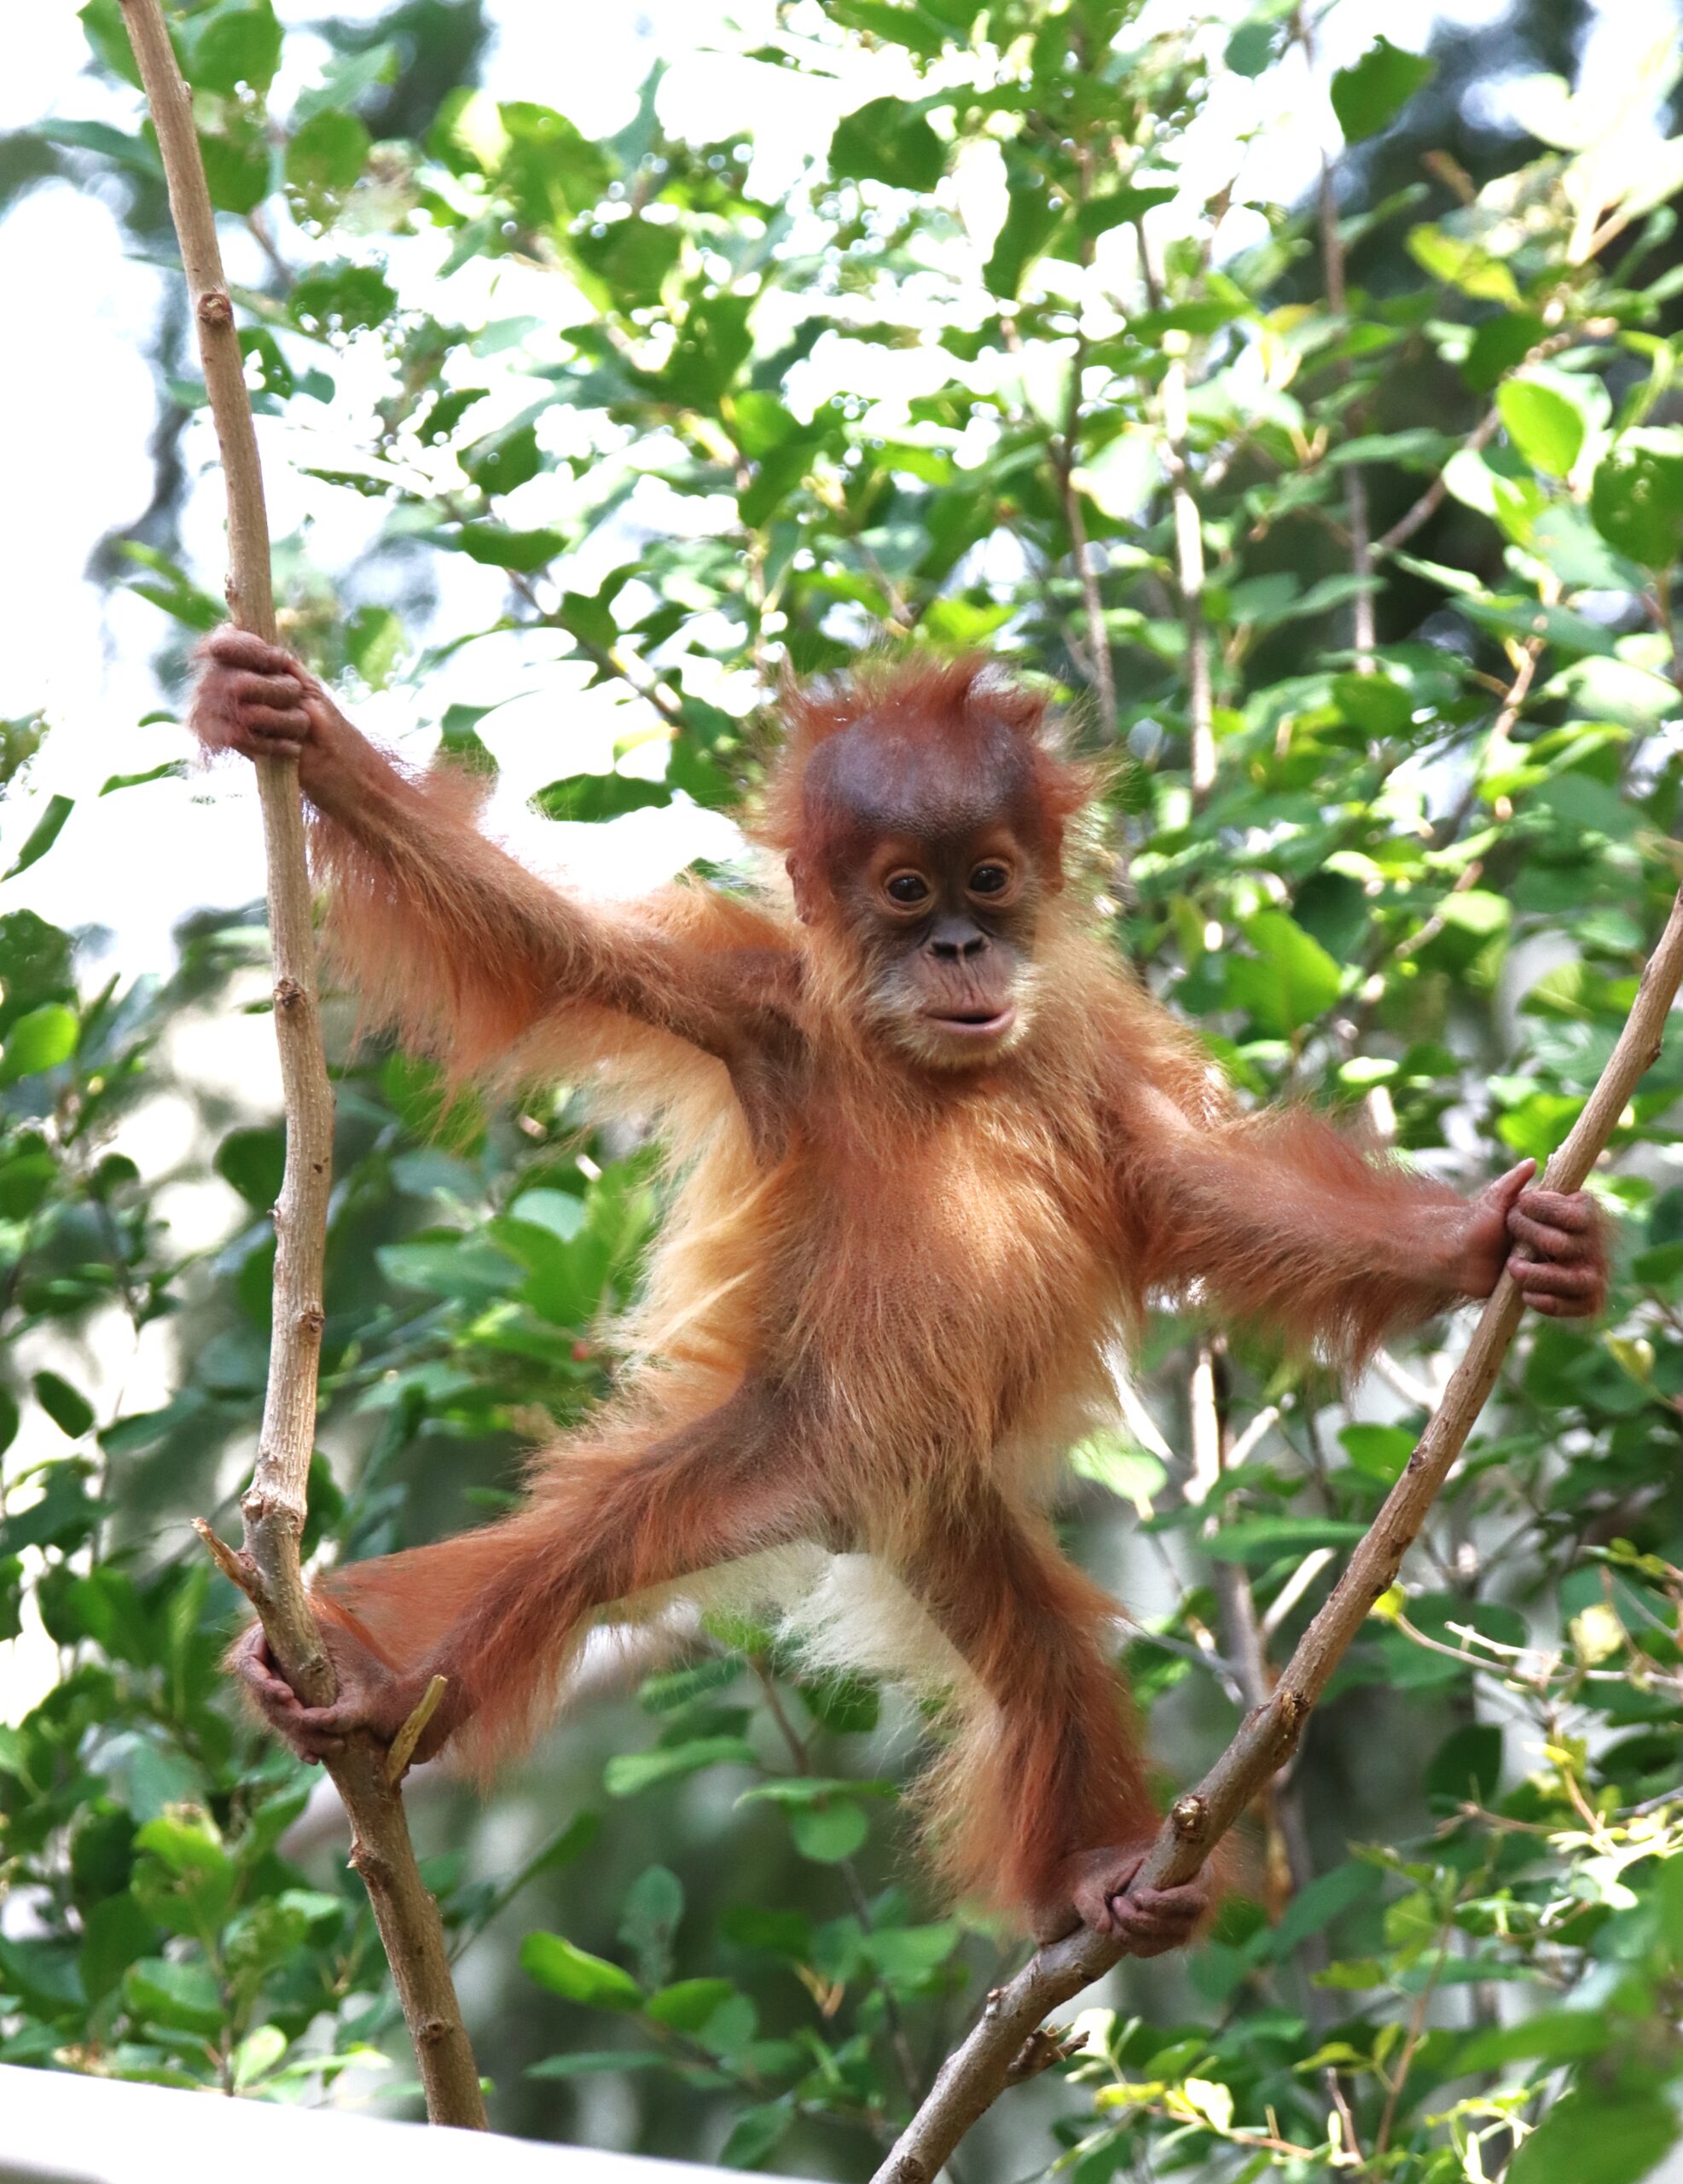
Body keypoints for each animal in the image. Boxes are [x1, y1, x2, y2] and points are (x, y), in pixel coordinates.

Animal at [189, 631, 1608, 1951]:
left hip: (946, 1510)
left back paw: (1092, 1873)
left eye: (988, 878)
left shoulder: (1089, 1063)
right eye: (906, 891)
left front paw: (1489, 1241)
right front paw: (307, 737)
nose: (961, 945)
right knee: (573, 1551)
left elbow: (1200, 1184)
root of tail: (848, 1507)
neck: (935, 1064)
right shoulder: (749, 1007)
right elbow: (549, 942)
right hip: (781, 1447)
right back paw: (380, 1686)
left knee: (1041, 1660)